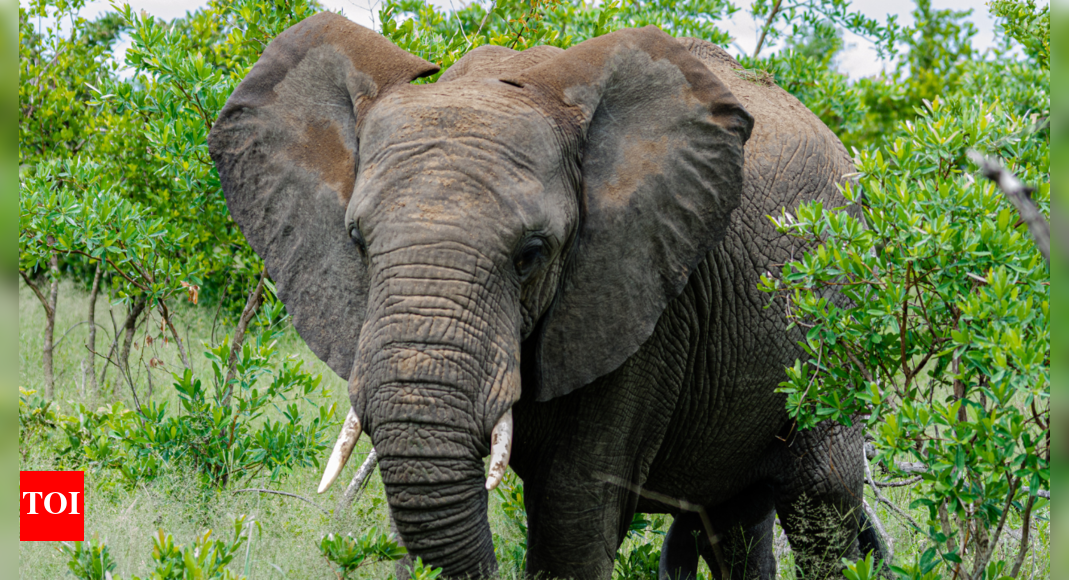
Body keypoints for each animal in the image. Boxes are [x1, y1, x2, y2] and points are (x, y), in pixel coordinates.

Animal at [208, 12, 885, 579]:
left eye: (532, 253)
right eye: (357, 242)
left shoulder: (635, 292)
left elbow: (573, 514)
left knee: (821, 502)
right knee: (731, 522)